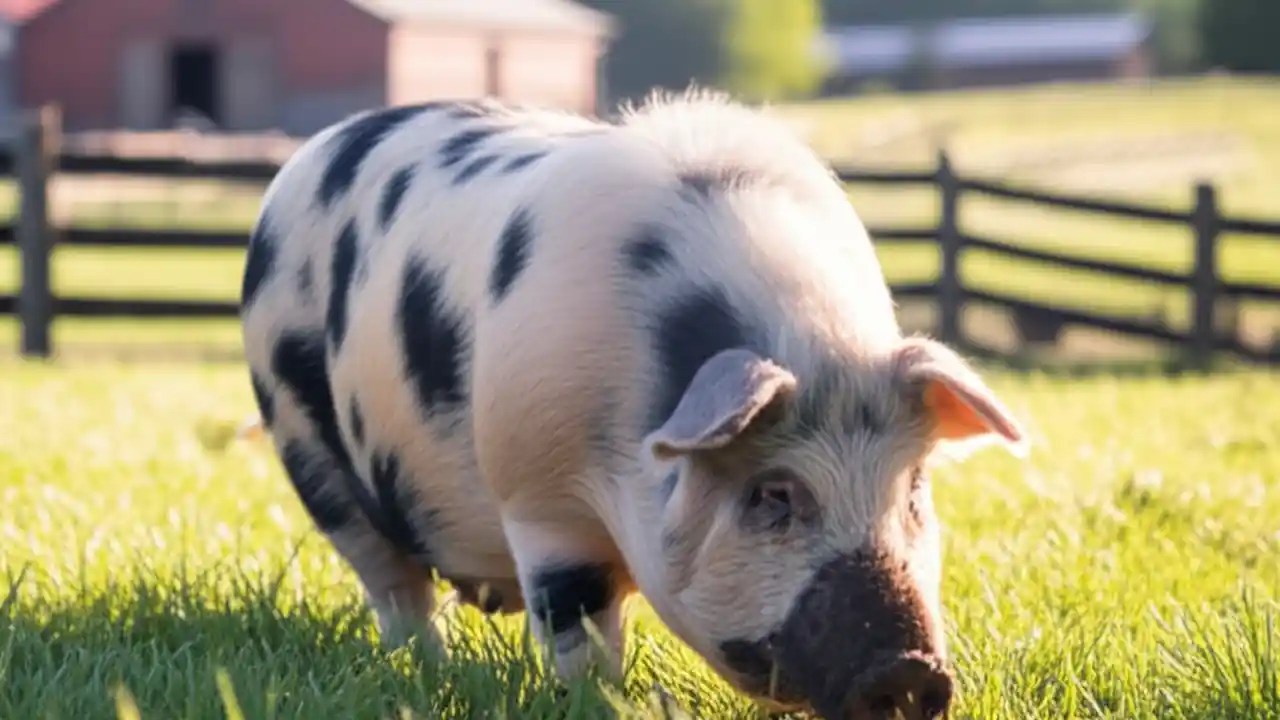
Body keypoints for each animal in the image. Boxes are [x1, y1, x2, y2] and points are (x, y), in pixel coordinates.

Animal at [239, 90, 1027, 719]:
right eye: (773, 493)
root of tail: (313, 152)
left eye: (913, 489)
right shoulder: (541, 499)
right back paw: (423, 667)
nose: (912, 671)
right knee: (392, 584)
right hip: (301, 436)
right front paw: (598, 701)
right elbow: (578, 624)